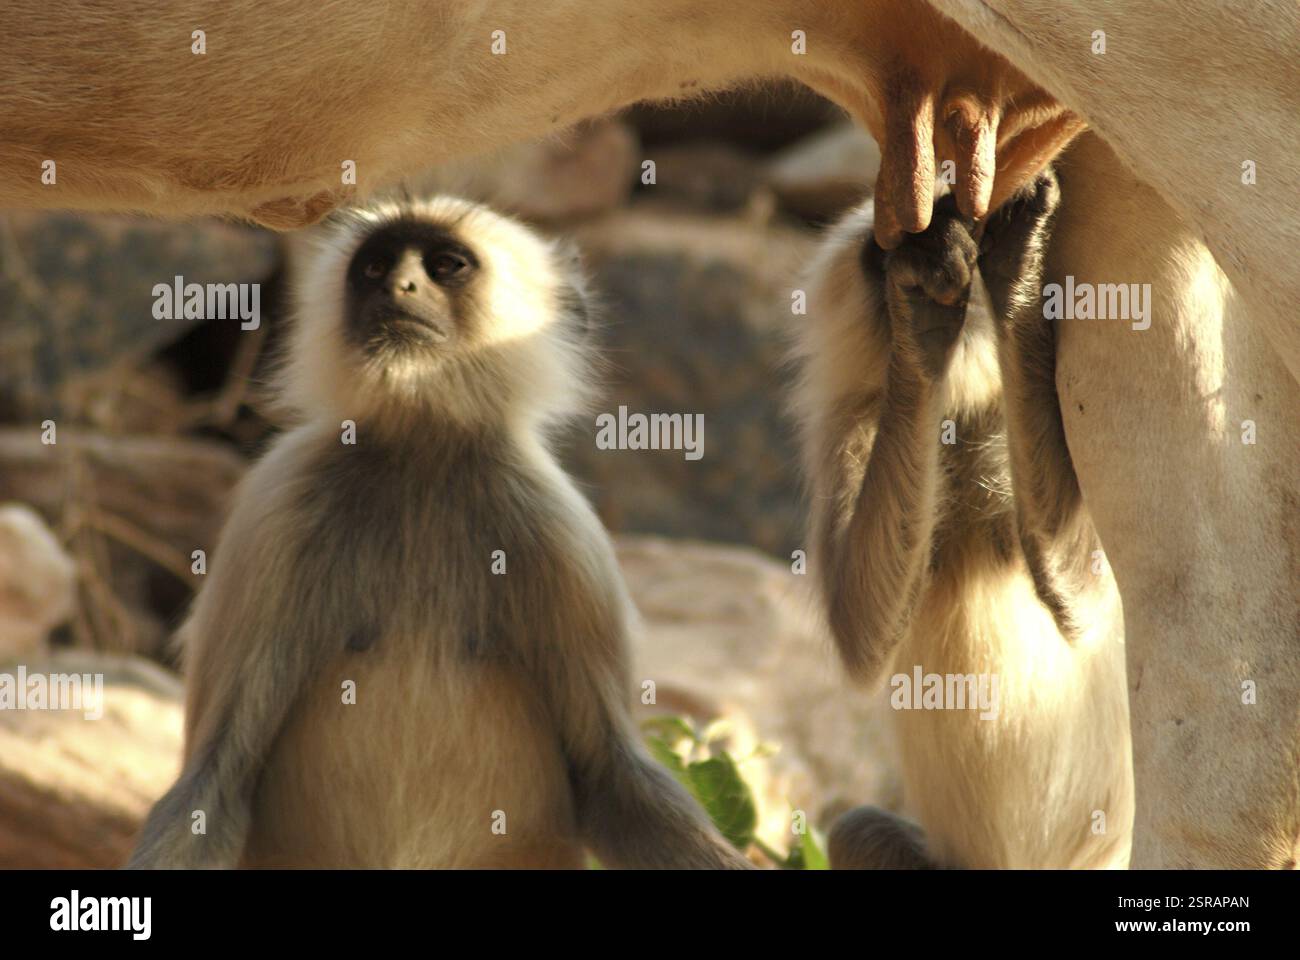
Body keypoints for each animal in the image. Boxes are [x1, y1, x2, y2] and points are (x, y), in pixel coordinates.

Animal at [128, 196, 750, 869]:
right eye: (374, 267)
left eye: (446, 265)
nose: (398, 287)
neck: (422, 451)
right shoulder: (277, 512)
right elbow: (215, 780)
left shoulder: (562, 536)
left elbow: (614, 778)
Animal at [790, 171, 1133, 868]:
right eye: (884, 249)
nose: (958, 283)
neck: (964, 412)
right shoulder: (848, 431)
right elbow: (859, 636)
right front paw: (920, 322)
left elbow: (1088, 604)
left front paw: (1017, 264)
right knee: (855, 829)